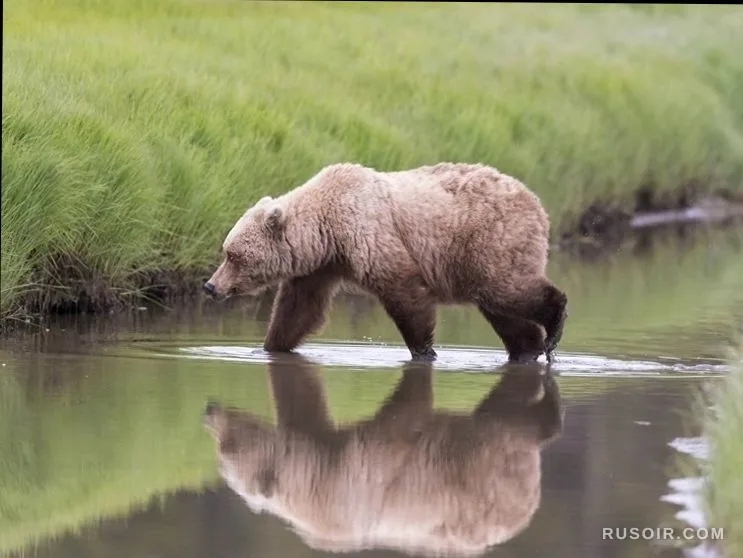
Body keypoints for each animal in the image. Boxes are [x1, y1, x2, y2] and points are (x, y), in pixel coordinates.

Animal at [204, 162, 567, 363]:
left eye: (232, 255)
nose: (210, 286)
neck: (326, 230)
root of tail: (537, 204)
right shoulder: (319, 267)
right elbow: (298, 310)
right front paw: (268, 347)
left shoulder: (372, 236)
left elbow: (405, 293)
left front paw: (423, 351)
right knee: (502, 311)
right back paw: (528, 349)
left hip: (489, 242)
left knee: (507, 290)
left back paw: (554, 323)